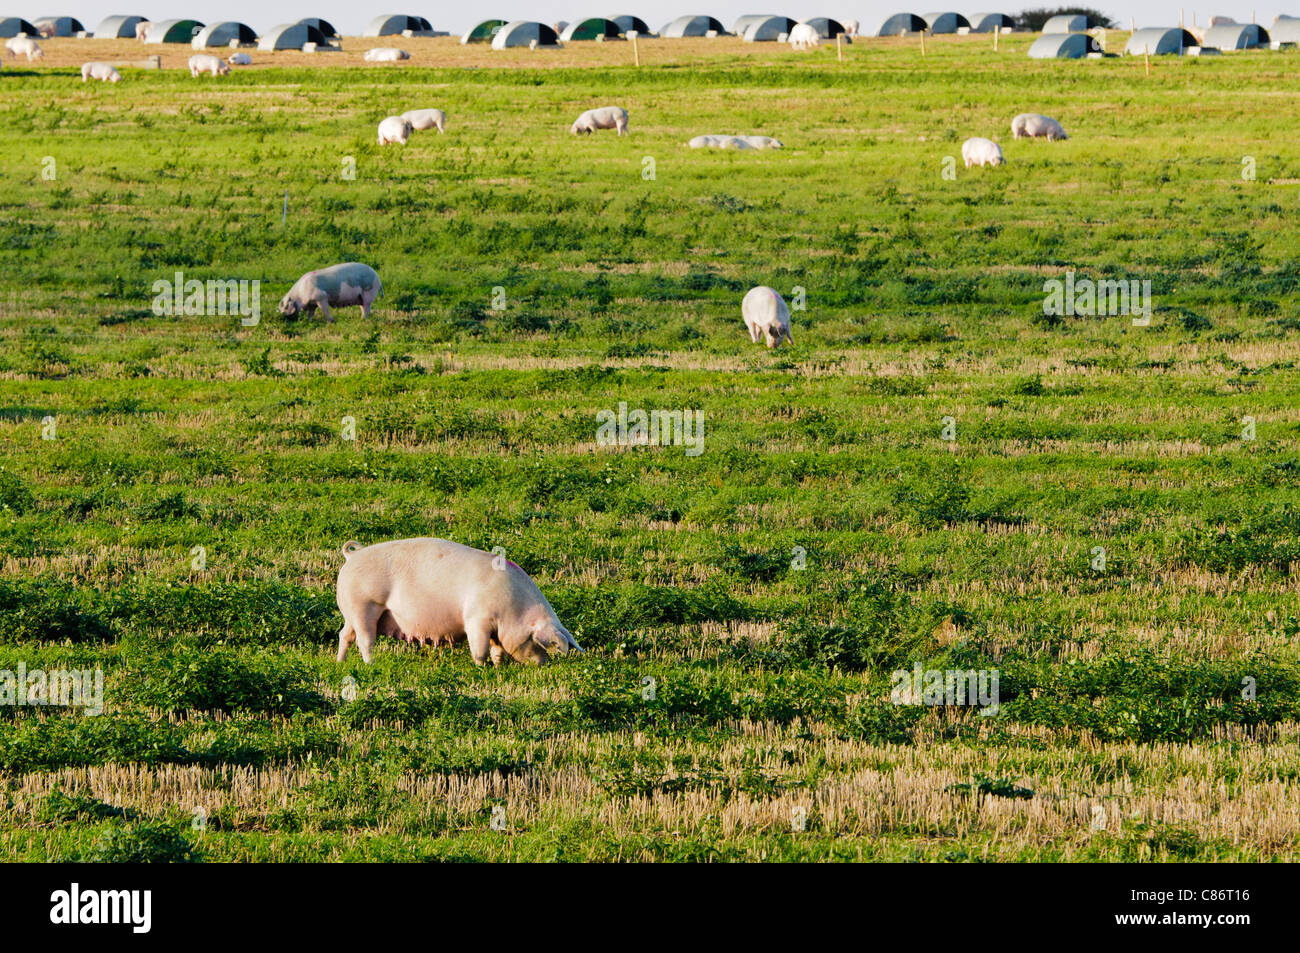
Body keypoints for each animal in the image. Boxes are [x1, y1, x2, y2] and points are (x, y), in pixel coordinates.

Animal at [335, 538, 582, 666]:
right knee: (365, 641)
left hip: (351, 613)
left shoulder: (496, 629)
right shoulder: (477, 619)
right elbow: (480, 650)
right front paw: (482, 669)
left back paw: (340, 662)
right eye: (539, 641)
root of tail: (352, 556)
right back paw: (371, 665)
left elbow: (497, 650)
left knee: (345, 635)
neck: (516, 610)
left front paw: (498, 667)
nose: (543, 665)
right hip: (363, 607)